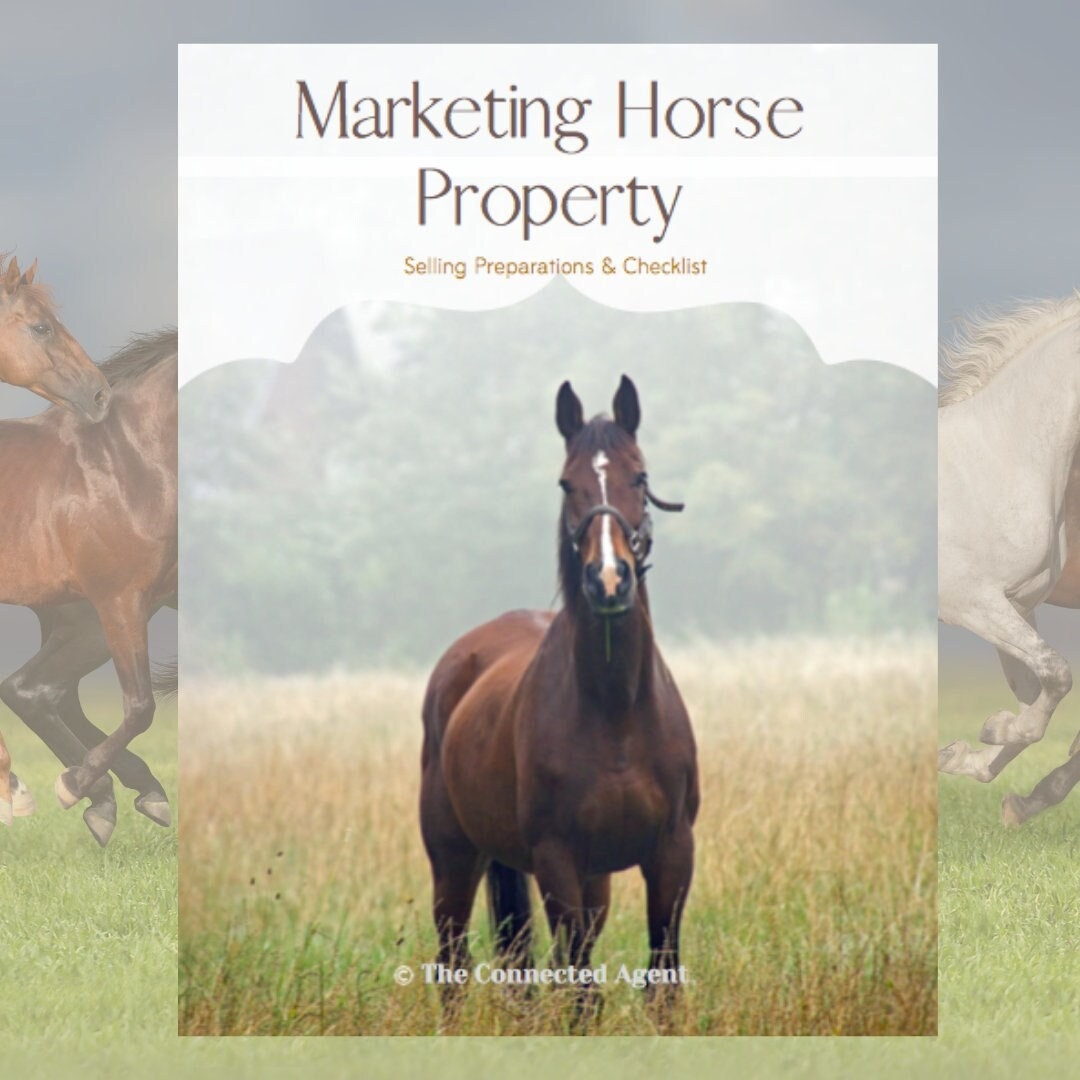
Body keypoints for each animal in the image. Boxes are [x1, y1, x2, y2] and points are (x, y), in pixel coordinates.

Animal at [420, 376, 698, 1022]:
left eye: (639, 476)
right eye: (566, 483)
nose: (609, 580)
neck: (616, 713)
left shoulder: (672, 853)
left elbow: (662, 978)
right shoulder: (557, 859)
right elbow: (577, 987)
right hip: (453, 860)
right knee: (453, 964)